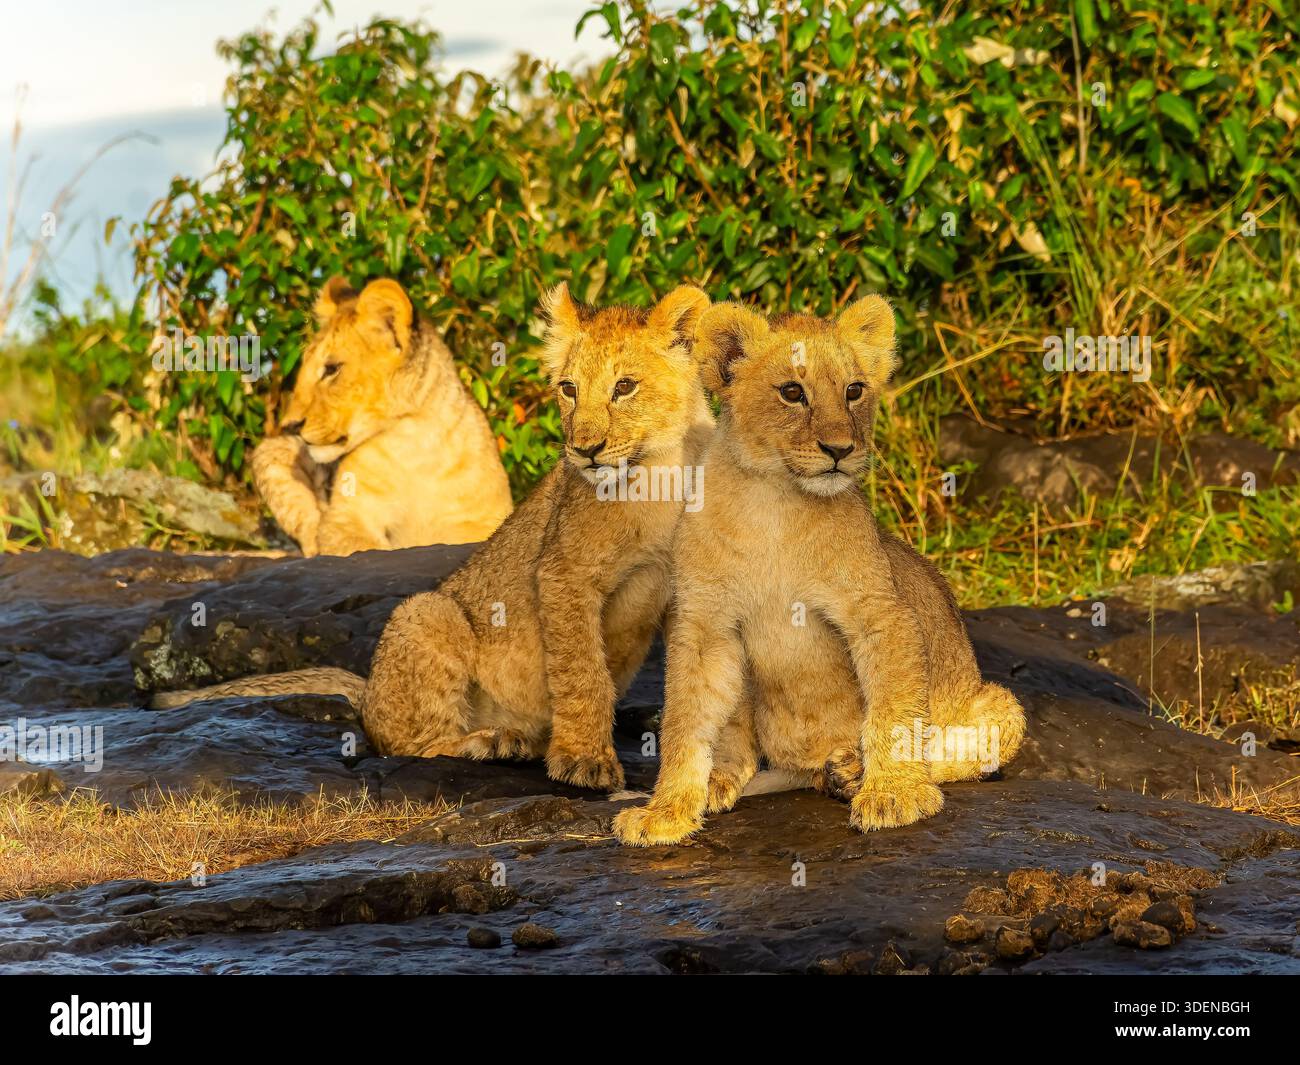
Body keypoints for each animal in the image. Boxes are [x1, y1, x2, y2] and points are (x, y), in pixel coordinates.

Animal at [613, 297, 1026, 846]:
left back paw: (851, 772)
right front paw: (666, 812)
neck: (774, 503)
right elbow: (686, 721)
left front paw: (894, 794)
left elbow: (894, 711)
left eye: (854, 390)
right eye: (792, 392)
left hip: (998, 702)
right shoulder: (705, 628)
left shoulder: (881, 614)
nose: (840, 449)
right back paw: (731, 780)